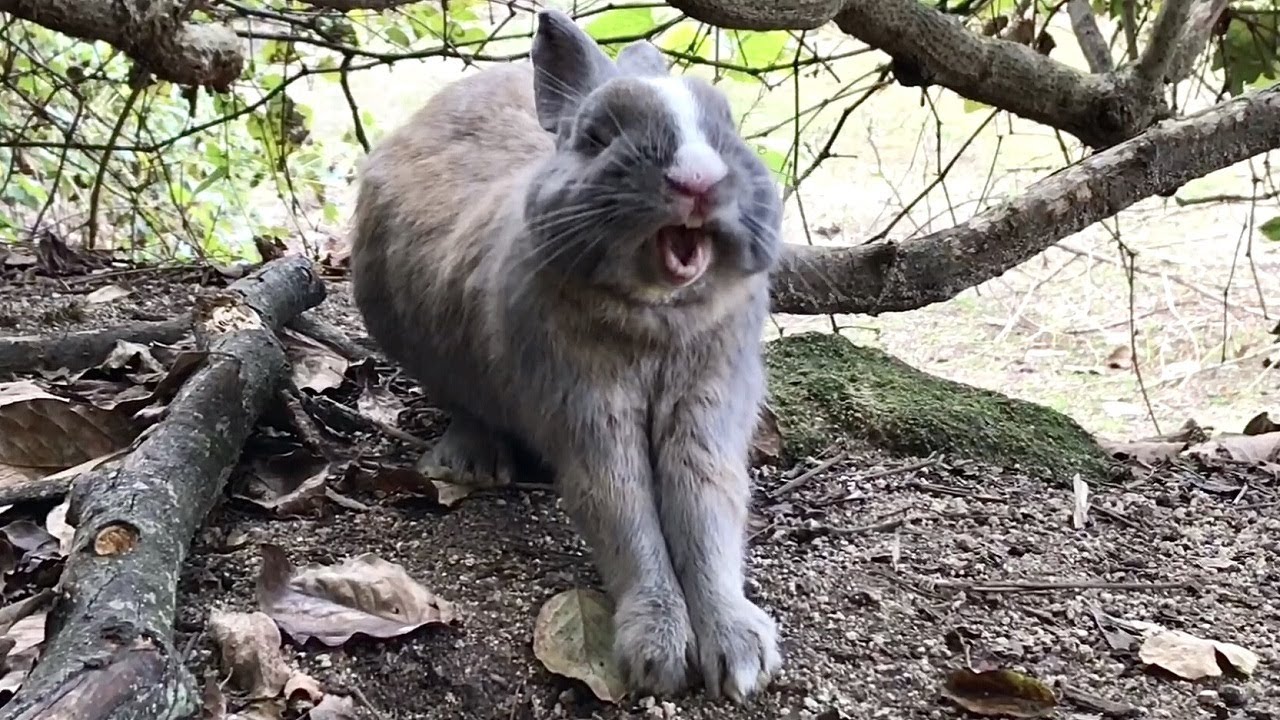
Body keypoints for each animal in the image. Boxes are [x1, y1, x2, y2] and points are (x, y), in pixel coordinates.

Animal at [348, 8, 784, 702]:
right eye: (600, 136)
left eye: (727, 125)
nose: (697, 180)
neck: (654, 313)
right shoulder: (583, 410)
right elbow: (620, 505)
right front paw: (657, 654)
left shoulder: (708, 406)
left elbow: (706, 507)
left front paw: (740, 657)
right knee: (461, 404)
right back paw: (472, 463)